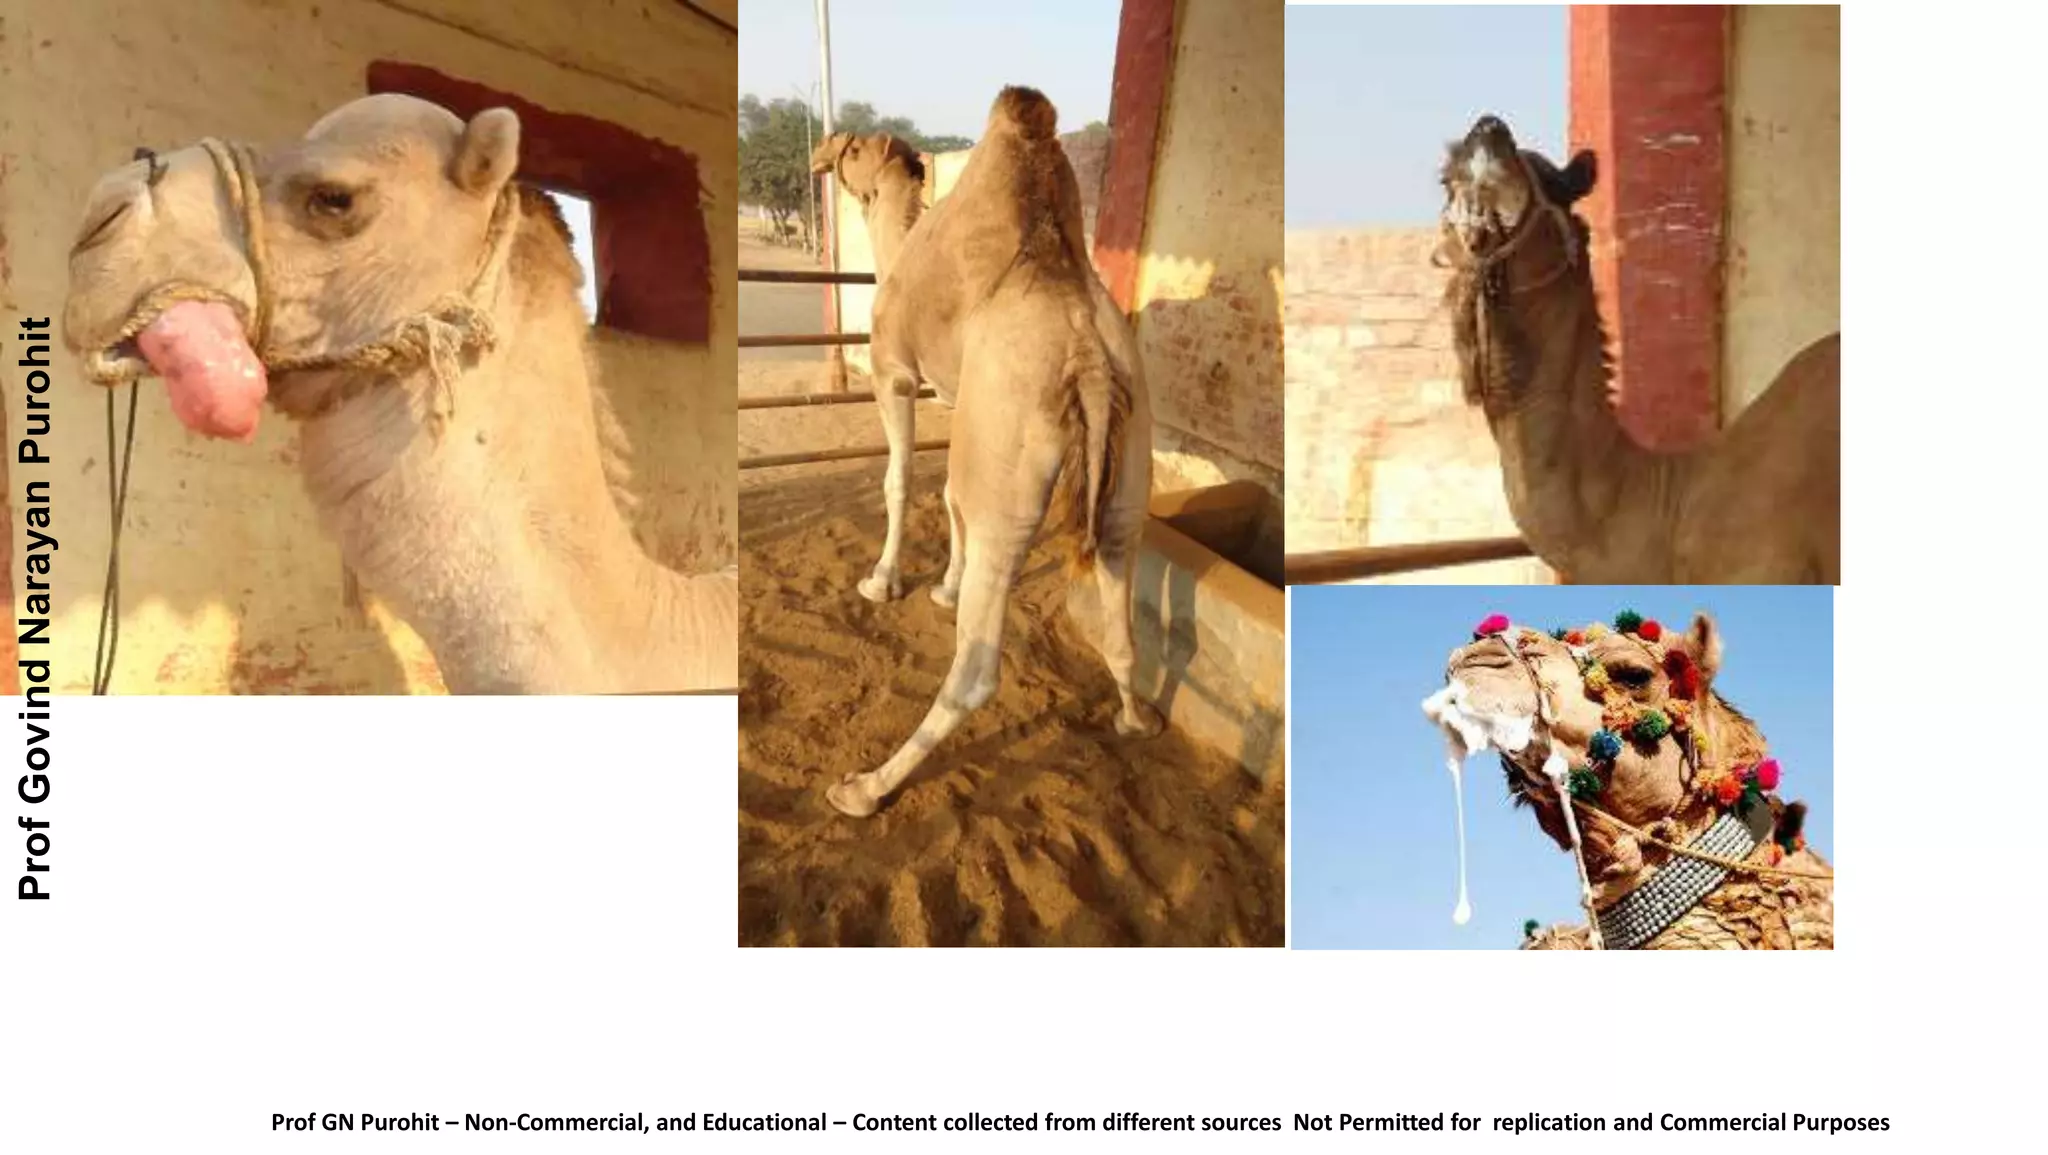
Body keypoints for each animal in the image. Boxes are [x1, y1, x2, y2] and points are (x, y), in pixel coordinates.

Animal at [809, 87, 1162, 818]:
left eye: (851, 148)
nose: (819, 153)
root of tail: (1089, 364)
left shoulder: (895, 371)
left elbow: (900, 479)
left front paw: (883, 581)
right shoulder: (961, 401)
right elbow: (948, 496)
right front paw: (945, 585)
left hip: (1013, 490)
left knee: (976, 671)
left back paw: (865, 786)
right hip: (1126, 479)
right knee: (1121, 627)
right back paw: (1133, 720)